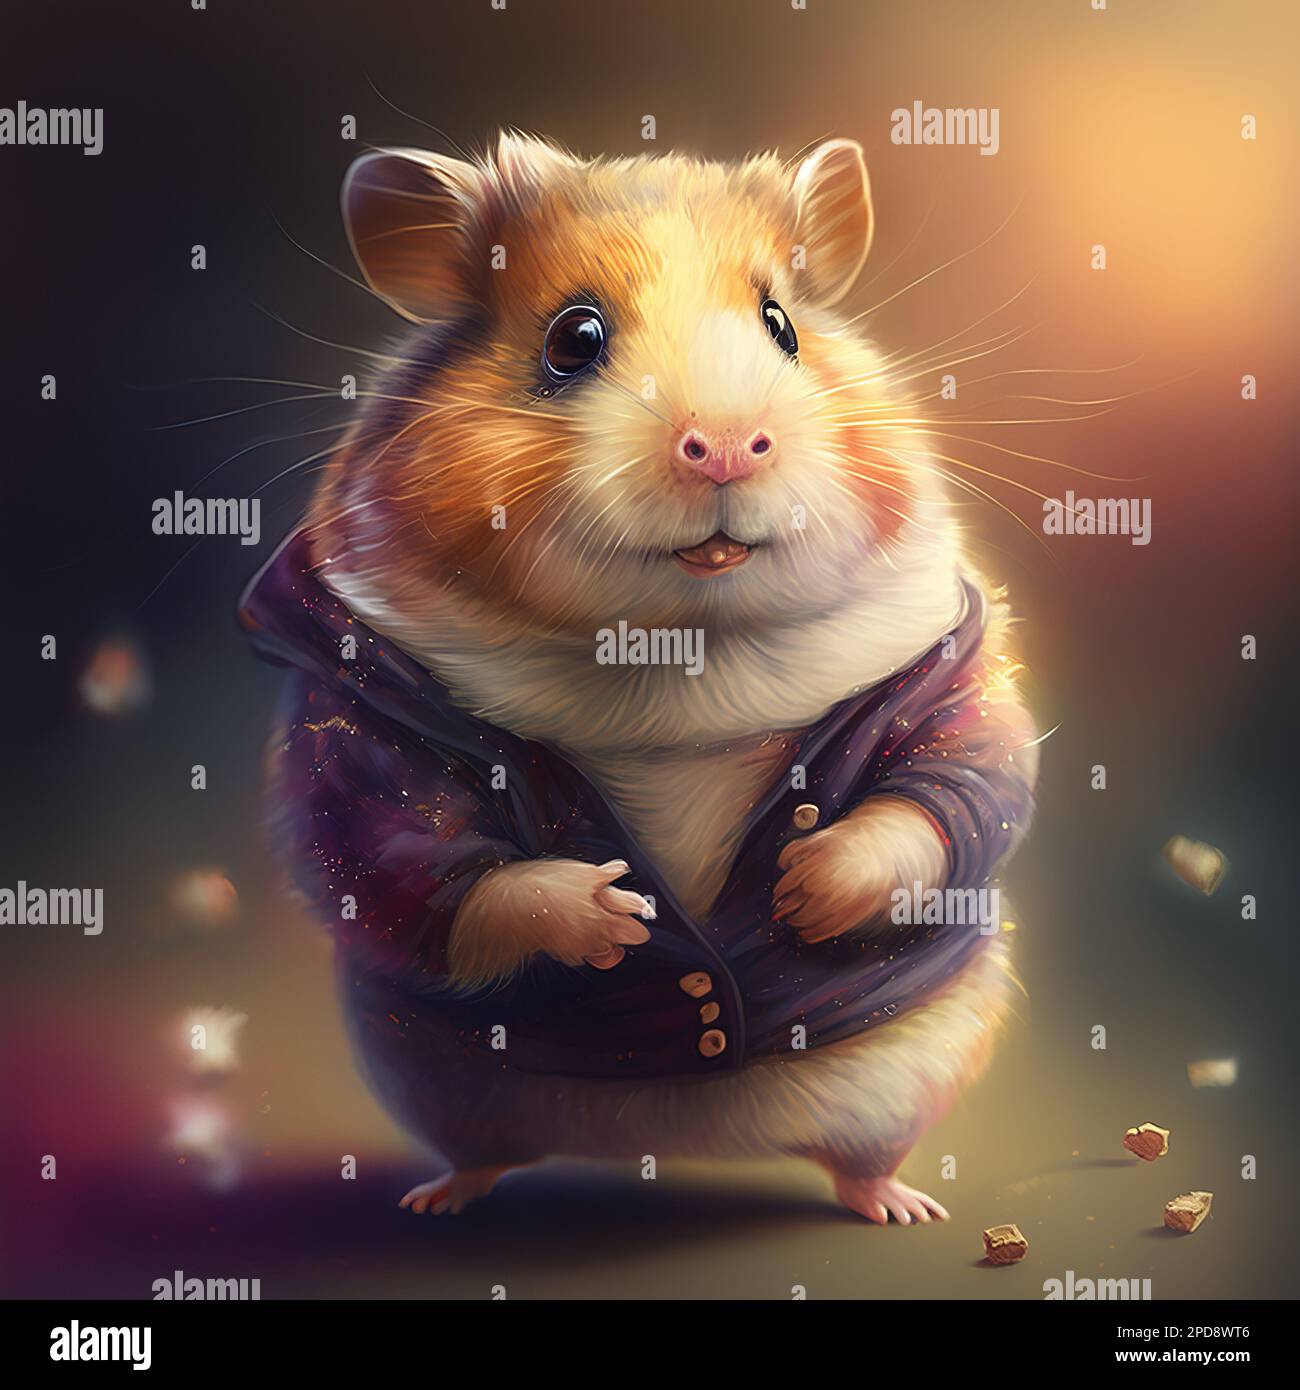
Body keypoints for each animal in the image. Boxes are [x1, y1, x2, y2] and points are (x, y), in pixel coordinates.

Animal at [241, 131, 1038, 1224]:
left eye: (782, 324)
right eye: (572, 339)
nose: (728, 446)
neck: (675, 651)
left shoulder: (952, 670)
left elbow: (958, 786)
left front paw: (803, 888)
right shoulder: (356, 721)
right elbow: (411, 855)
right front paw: (615, 915)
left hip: (919, 1062)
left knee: (864, 1153)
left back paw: (900, 1204)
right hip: (425, 1075)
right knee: (476, 1143)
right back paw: (441, 1198)